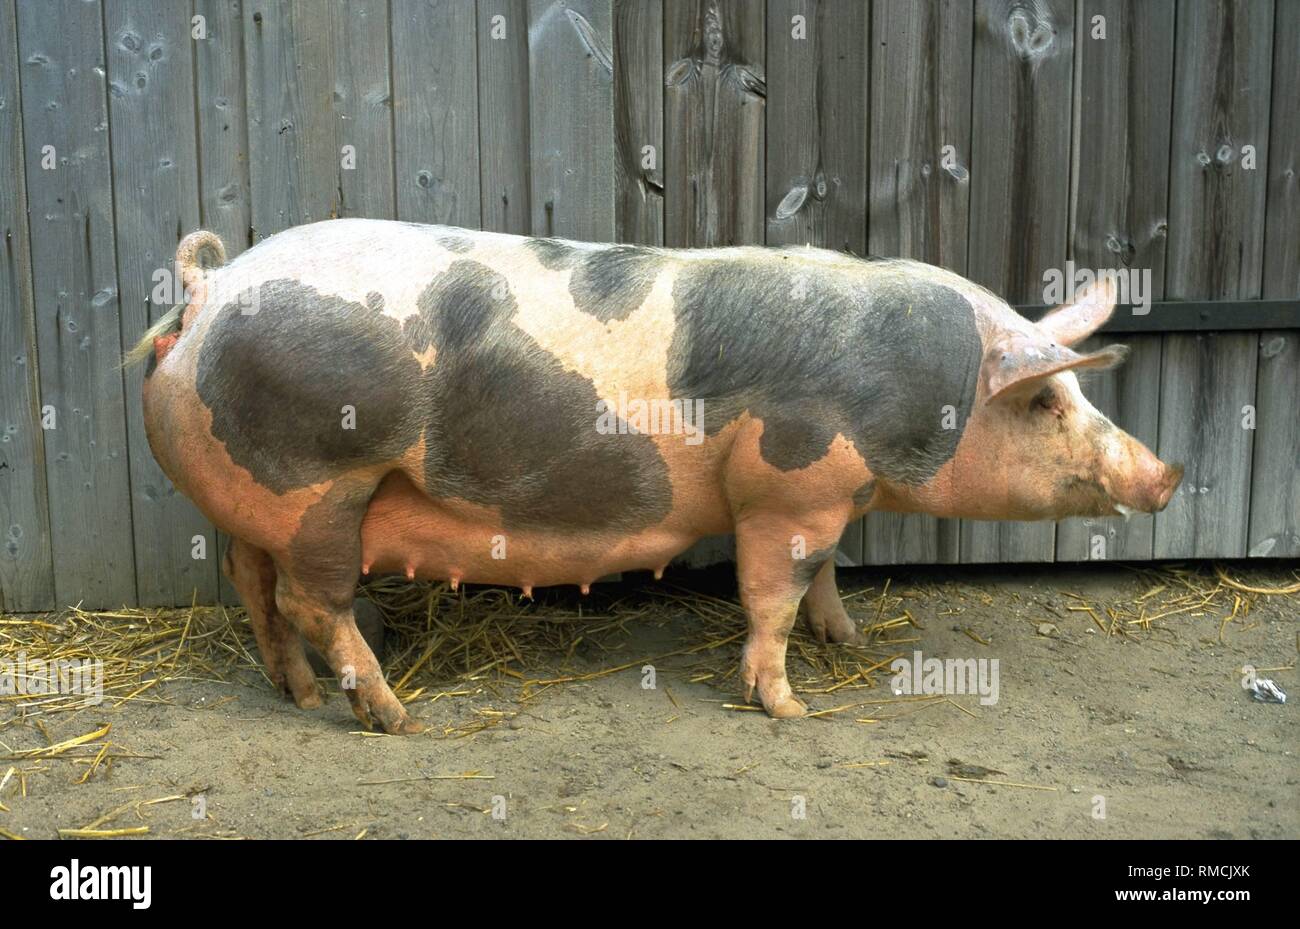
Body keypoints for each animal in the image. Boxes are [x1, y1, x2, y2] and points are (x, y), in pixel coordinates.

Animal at [133, 218, 1183, 732]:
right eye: (1047, 405)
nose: (1167, 472)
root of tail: (209, 288)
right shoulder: (786, 485)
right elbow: (771, 593)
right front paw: (792, 708)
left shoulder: (829, 495)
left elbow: (826, 573)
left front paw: (843, 638)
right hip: (327, 482)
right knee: (312, 600)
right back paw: (392, 717)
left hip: (265, 499)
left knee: (254, 587)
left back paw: (301, 697)